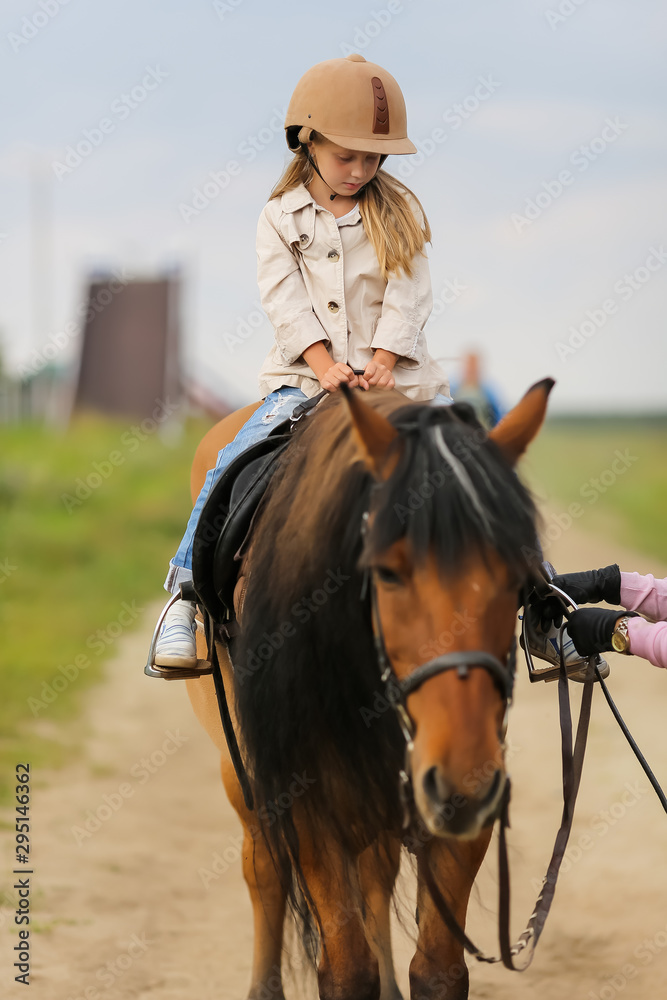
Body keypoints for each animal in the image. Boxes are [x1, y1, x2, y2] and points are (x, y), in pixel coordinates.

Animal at [184, 378, 553, 1000]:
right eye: (387, 571)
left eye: (519, 578)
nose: (464, 781)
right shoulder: (302, 791)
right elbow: (346, 969)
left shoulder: (462, 797)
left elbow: (437, 971)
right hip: (244, 773)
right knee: (264, 867)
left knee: (375, 872)